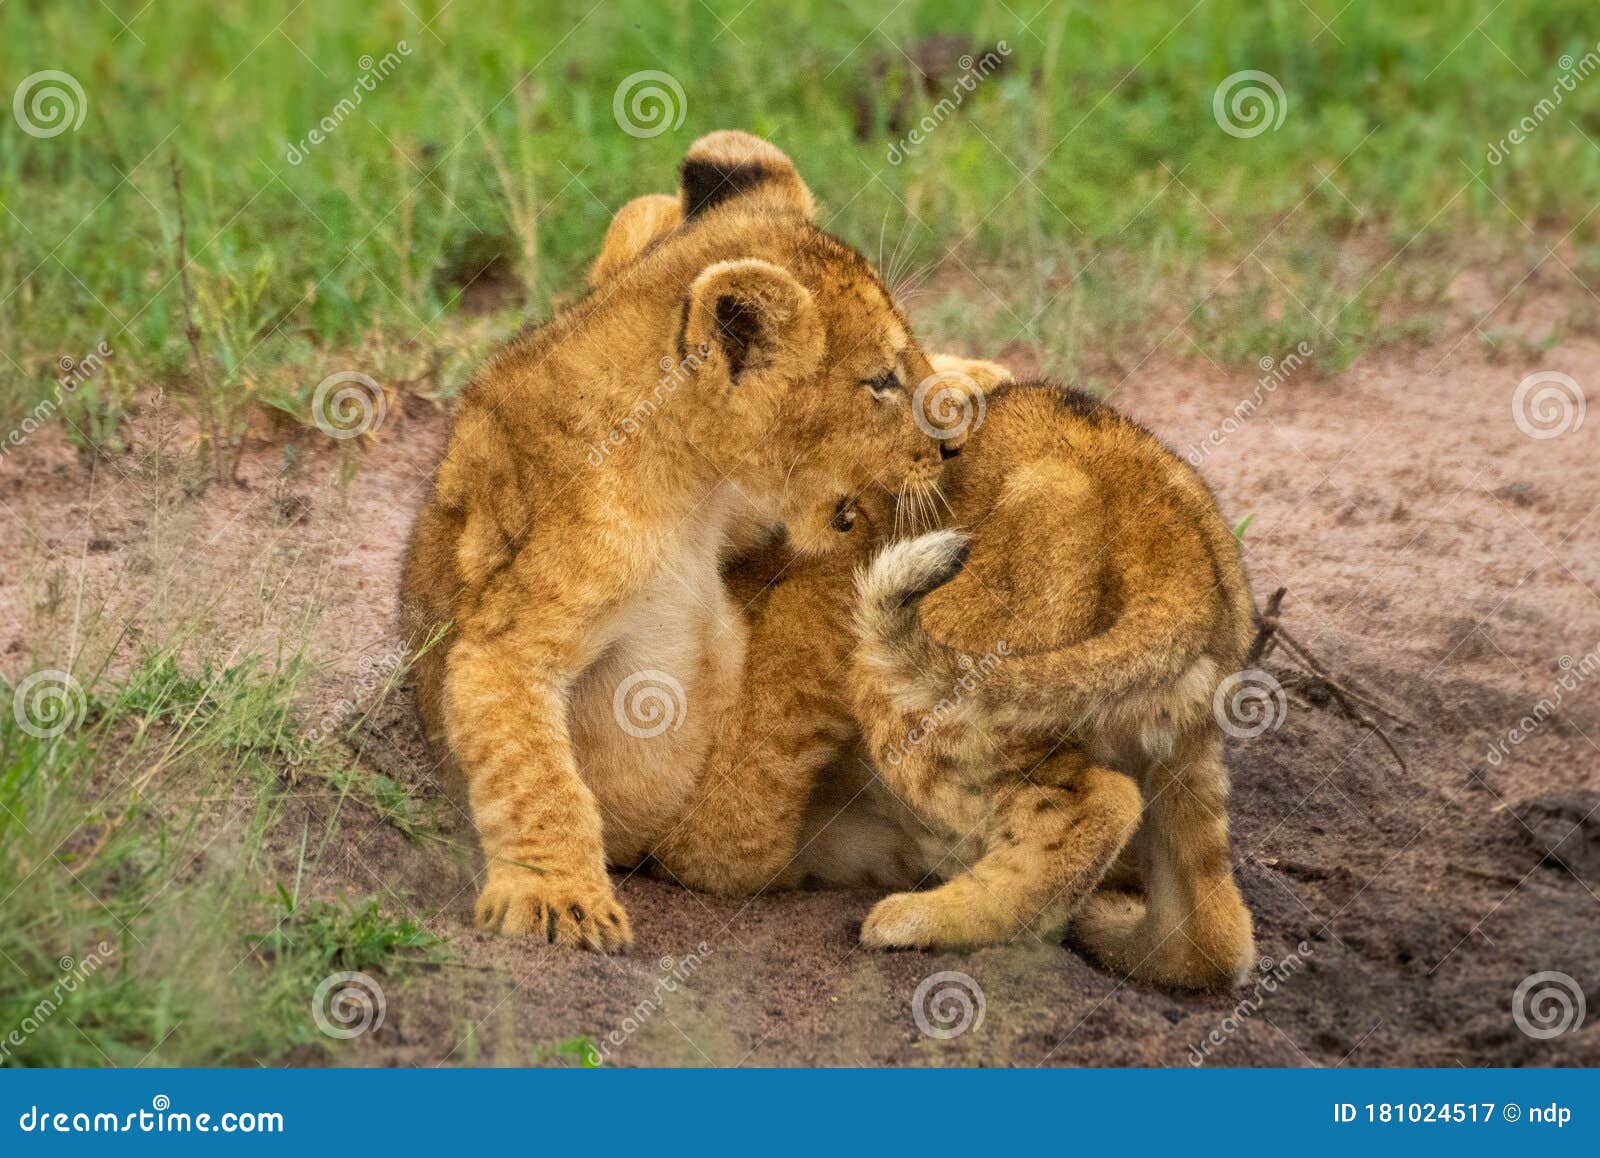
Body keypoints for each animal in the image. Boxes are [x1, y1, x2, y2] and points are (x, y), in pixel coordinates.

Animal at [400, 130, 944, 951]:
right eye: (880, 381)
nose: (950, 448)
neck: (681, 485)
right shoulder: (511, 633)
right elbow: (532, 772)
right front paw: (557, 897)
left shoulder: (734, 514)